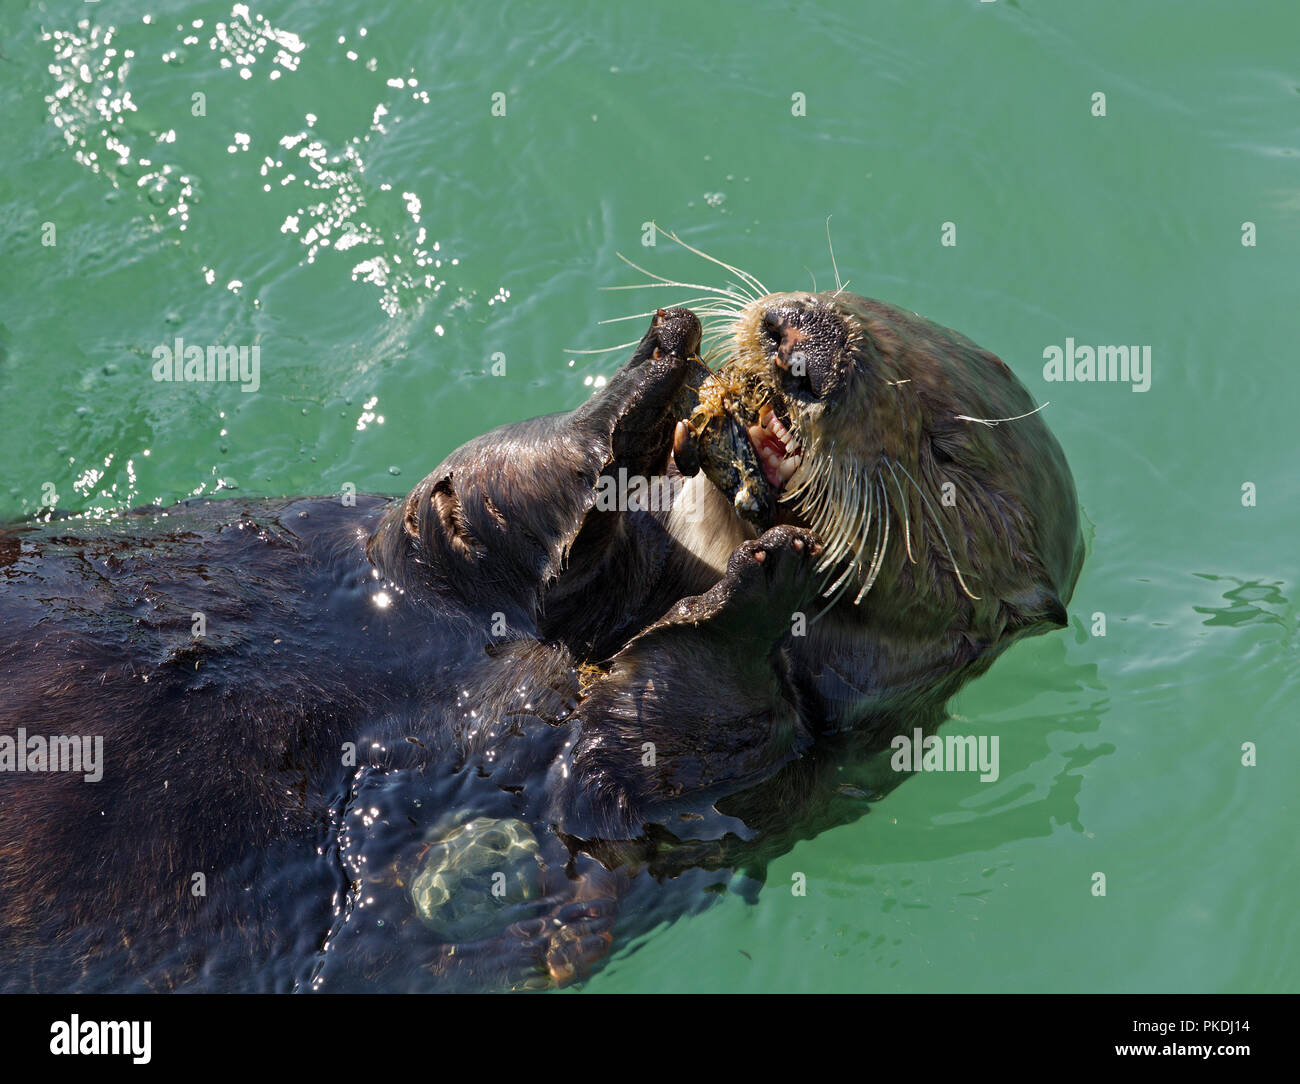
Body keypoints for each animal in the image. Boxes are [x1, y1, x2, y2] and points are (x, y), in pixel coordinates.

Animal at [0, 288, 1082, 992]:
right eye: (846, 291)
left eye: (946, 445)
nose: (797, 346)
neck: (678, 567)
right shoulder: (432, 555)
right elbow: (476, 496)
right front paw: (654, 376)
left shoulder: (763, 776)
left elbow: (637, 754)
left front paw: (769, 576)